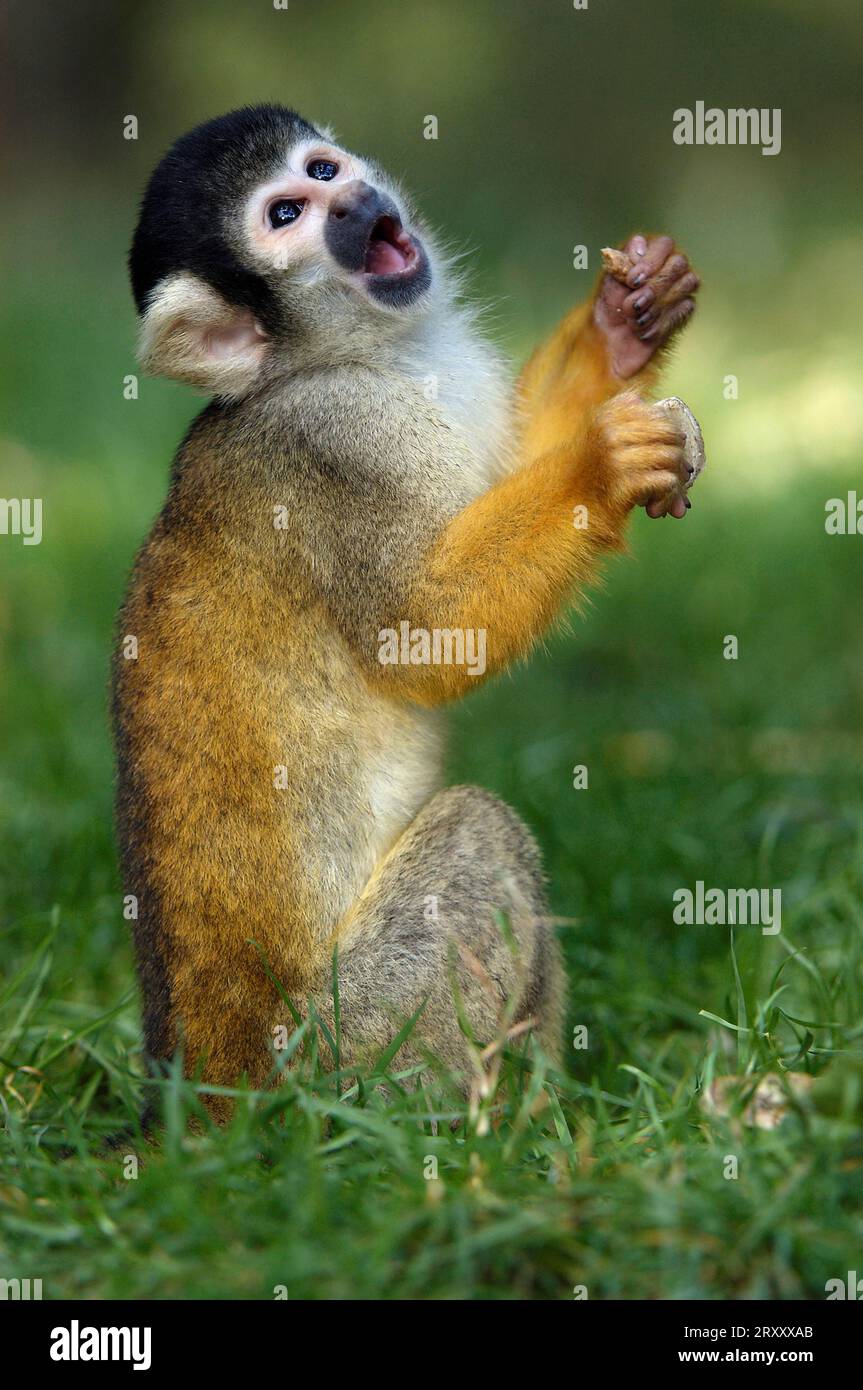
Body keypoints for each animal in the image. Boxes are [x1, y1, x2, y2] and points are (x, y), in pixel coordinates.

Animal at [113, 104, 700, 1118]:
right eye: (286, 215)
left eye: (321, 169)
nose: (354, 201)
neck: (359, 353)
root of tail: (201, 1100)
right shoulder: (335, 441)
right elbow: (430, 637)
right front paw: (605, 463)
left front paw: (622, 327)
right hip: (343, 1055)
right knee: (477, 831)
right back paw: (502, 1133)